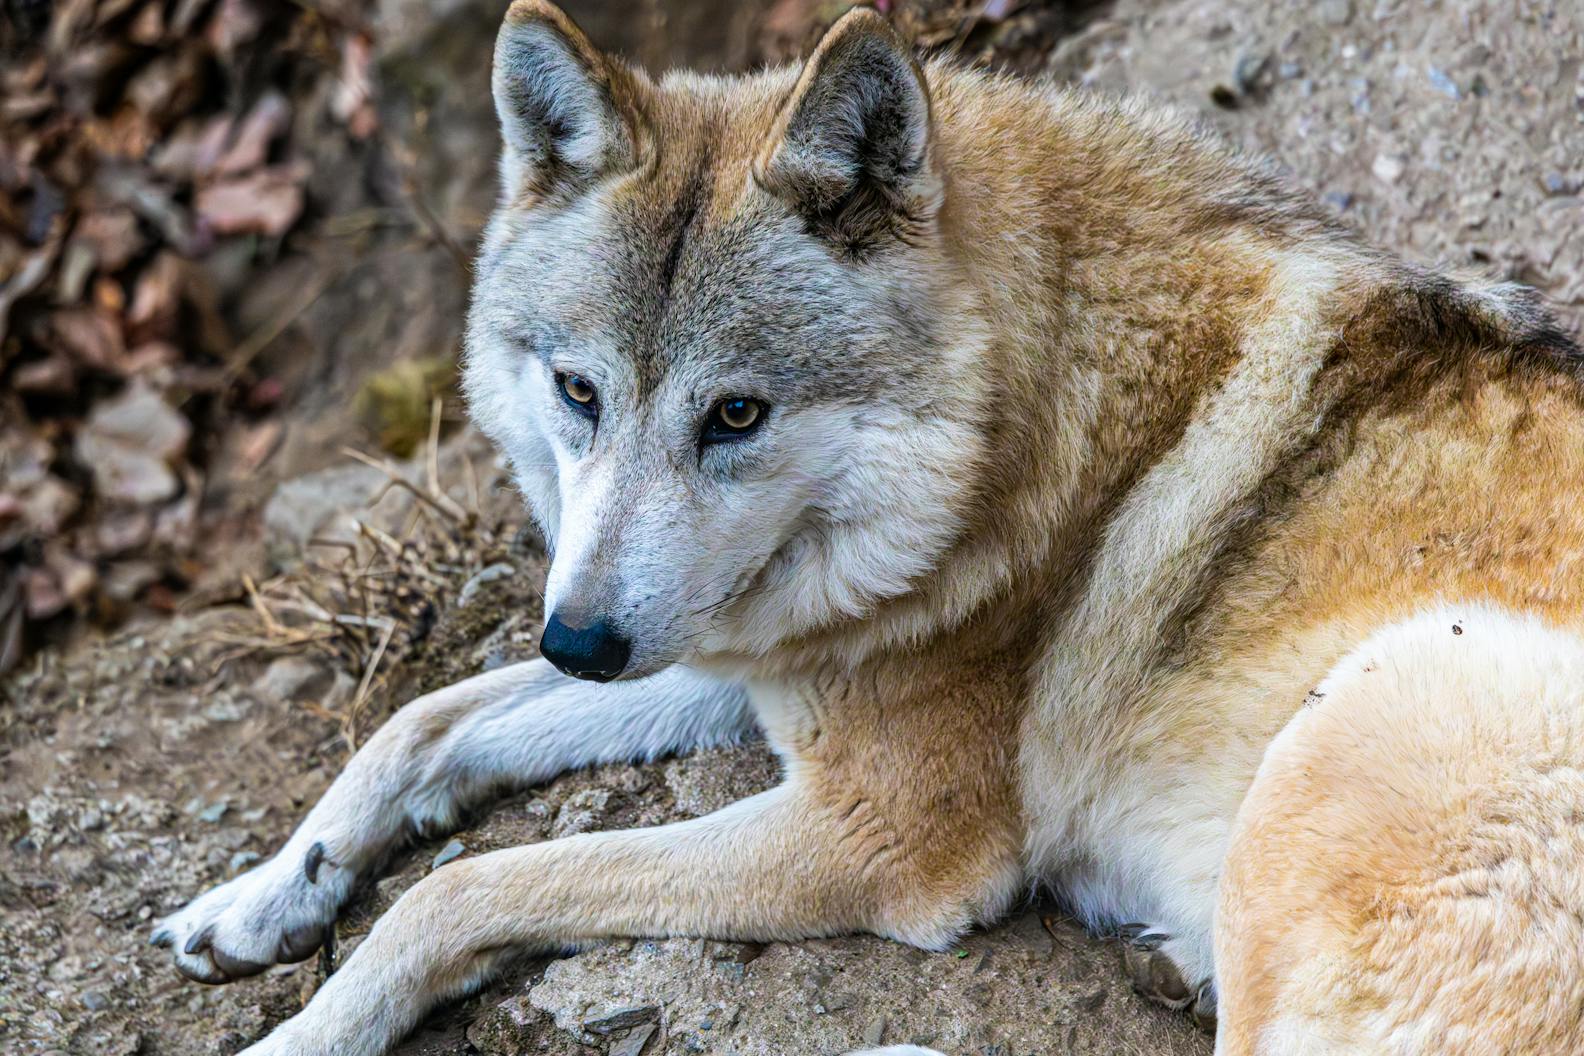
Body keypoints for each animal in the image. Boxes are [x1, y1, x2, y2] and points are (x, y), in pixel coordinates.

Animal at [150, 3, 1584, 1053]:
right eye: (578, 392)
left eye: (735, 413)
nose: (579, 642)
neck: (1040, 416)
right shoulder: (745, 661)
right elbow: (421, 723)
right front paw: (258, 898)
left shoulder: (880, 834)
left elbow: (462, 887)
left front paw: (302, 1032)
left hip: (1378, 707)